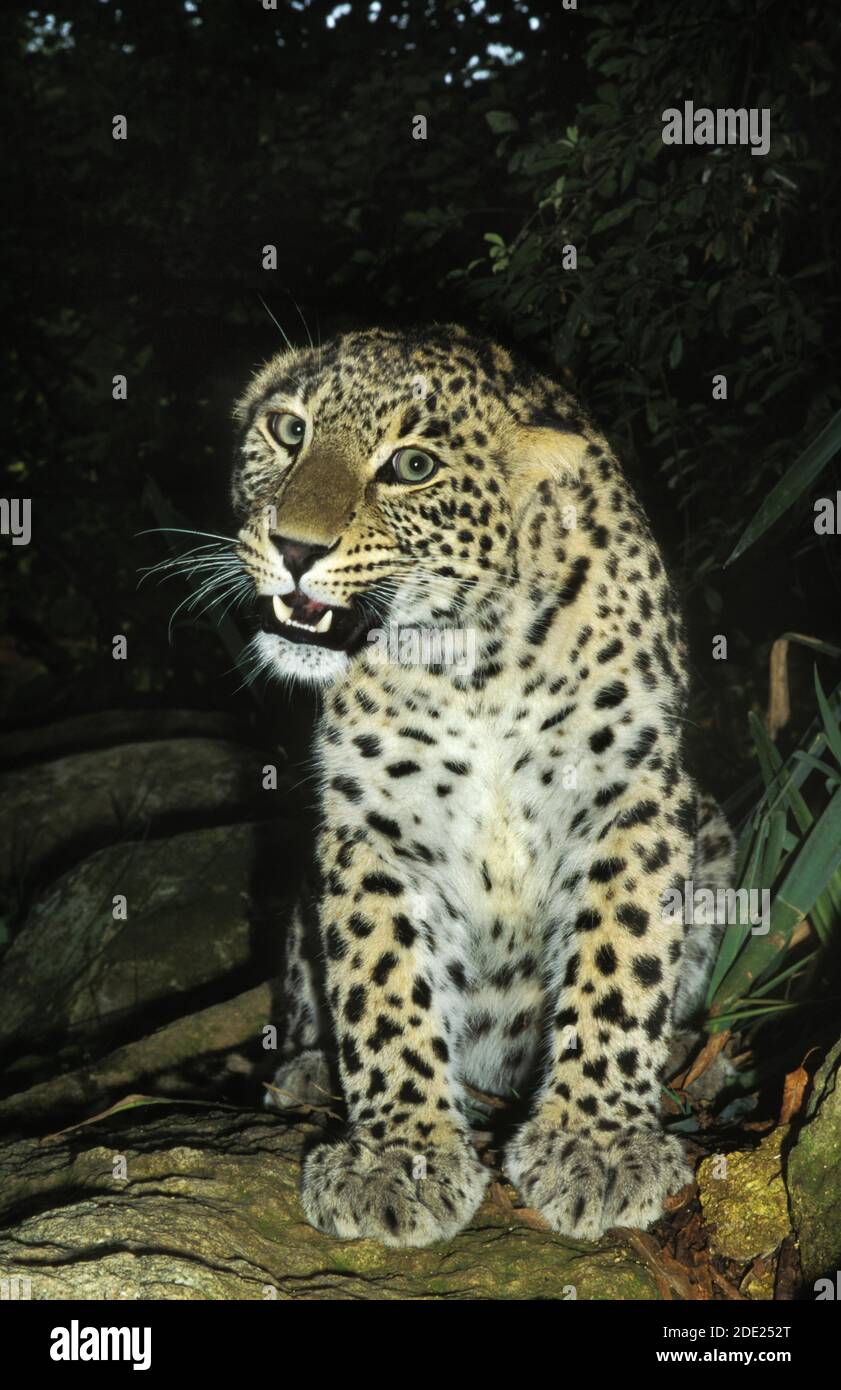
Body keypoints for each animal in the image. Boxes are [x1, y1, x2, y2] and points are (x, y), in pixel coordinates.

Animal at [230, 322, 735, 1248]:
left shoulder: (629, 793)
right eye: (288, 432)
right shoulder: (371, 824)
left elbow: (622, 955)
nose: (294, 548)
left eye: (412, 466)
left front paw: (597, 1143)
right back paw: (308, 1075)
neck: (469, 659)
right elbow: (382, 981)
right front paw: (398, 1156)